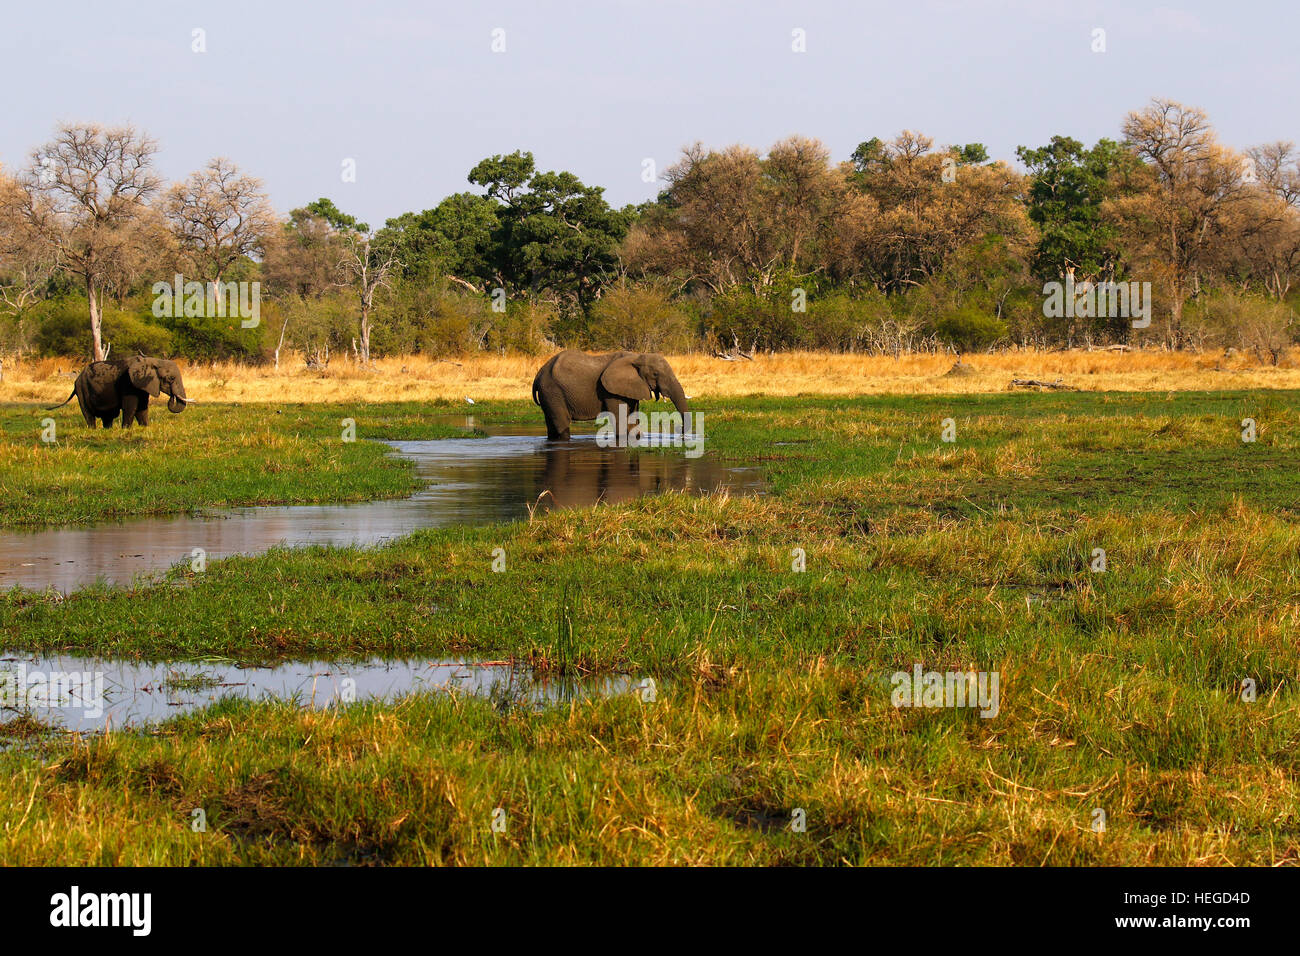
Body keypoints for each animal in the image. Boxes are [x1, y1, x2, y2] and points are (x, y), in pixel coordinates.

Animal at [48, 356, 190, 428]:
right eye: (171, 379)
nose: (172, 397)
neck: (152, 360)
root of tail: (77, 378)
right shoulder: (128, 383)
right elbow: (131, 406)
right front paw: (126, 429)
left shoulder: (142, 385)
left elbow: (142, 407)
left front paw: (145, 427)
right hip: (82, 389)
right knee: (88, 413)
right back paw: (92, 429)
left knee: (107, 416)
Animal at [531, 350, 689, 441]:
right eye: (655, 374)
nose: (679, 432)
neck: (637, 356)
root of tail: (539, 374)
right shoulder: (611, 391)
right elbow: (620, 420)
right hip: (553, 391)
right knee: (562, 424)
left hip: (549, 395)